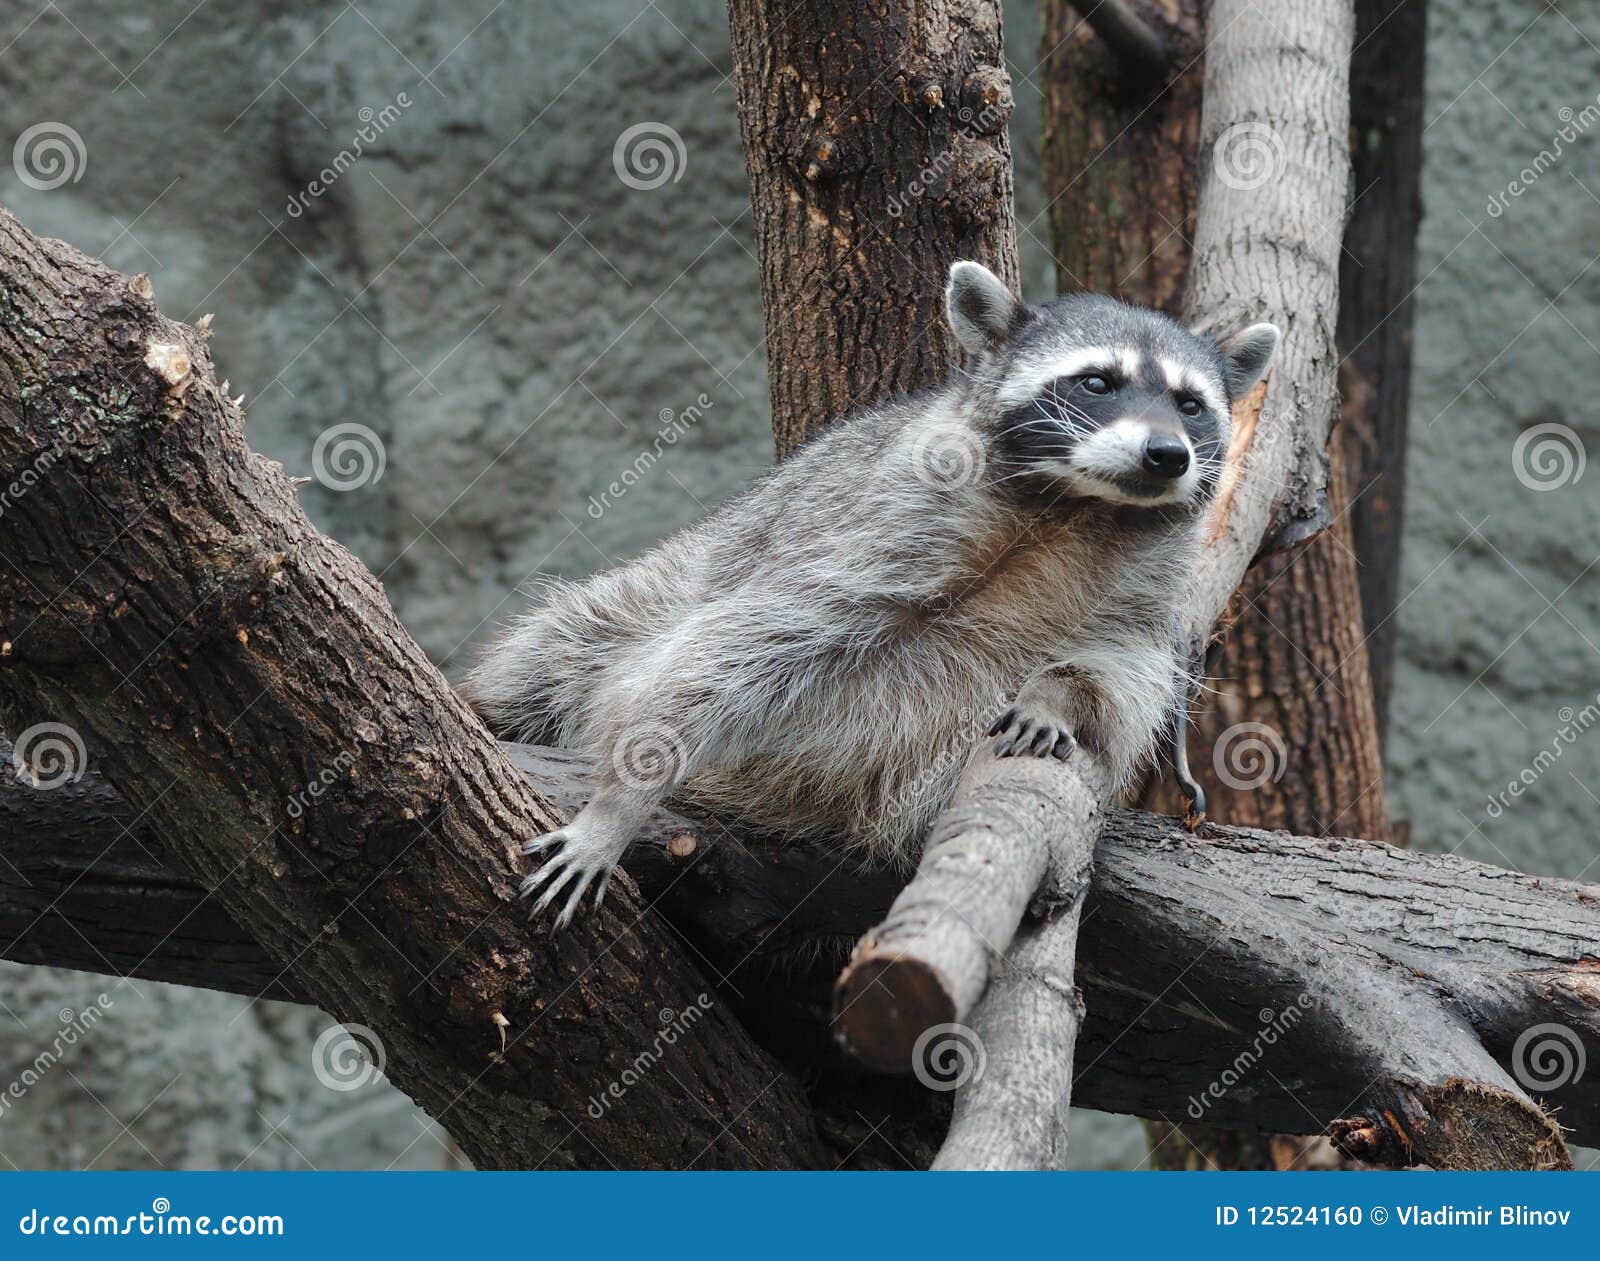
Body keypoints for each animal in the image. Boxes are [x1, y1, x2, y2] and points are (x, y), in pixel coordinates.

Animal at [462, 261, 1278, 926]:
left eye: (1191, 403)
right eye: (1098, 382)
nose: (1166, 454)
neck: (1081, 506)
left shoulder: (1146, 588)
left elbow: (1121, 672)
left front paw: (1056, 694)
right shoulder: (890, 522)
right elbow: (741, 646)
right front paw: (620, 801)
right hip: (662, 582)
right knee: (567, 642)